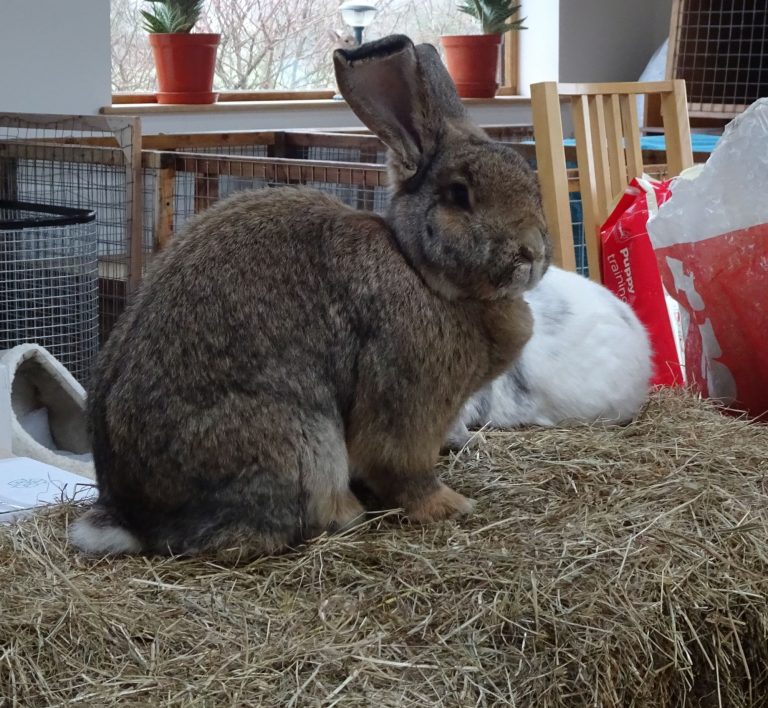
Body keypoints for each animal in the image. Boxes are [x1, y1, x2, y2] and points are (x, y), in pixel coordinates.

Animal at [68, 34, 550, 561]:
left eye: (532, 185)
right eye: (460, 195)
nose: (531, 253)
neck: (417, 268)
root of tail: (132, 518)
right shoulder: (406, 403)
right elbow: (404, 468)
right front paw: (449, 505)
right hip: (303, 443)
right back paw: (346, 514)